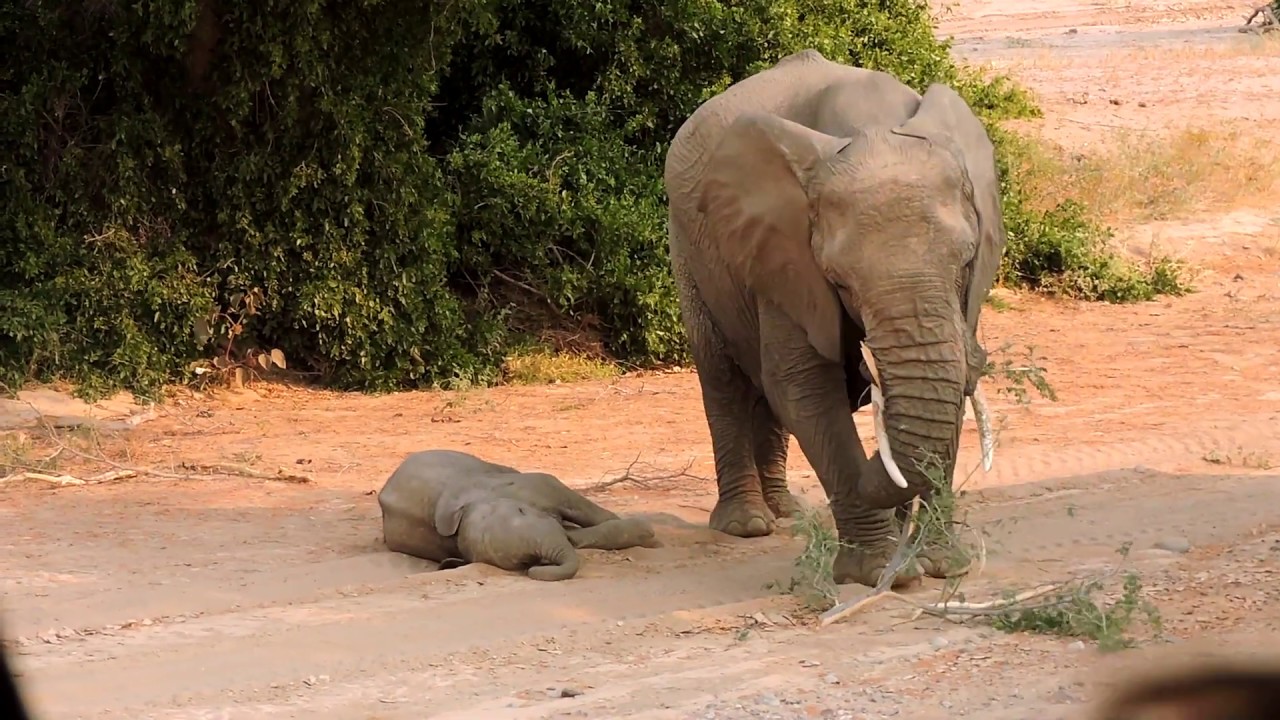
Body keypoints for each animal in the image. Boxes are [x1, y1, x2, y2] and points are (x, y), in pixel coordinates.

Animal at [663, 49, 1003, 588]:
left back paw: (787, 512)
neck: (870, 122)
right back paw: (748, 525)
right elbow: (804, 389)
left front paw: (941, 566)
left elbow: (954, 383)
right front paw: (881, 571)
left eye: (966, 260)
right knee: (725, 378)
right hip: (690, 252)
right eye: (839, 280)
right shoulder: (784, 257)